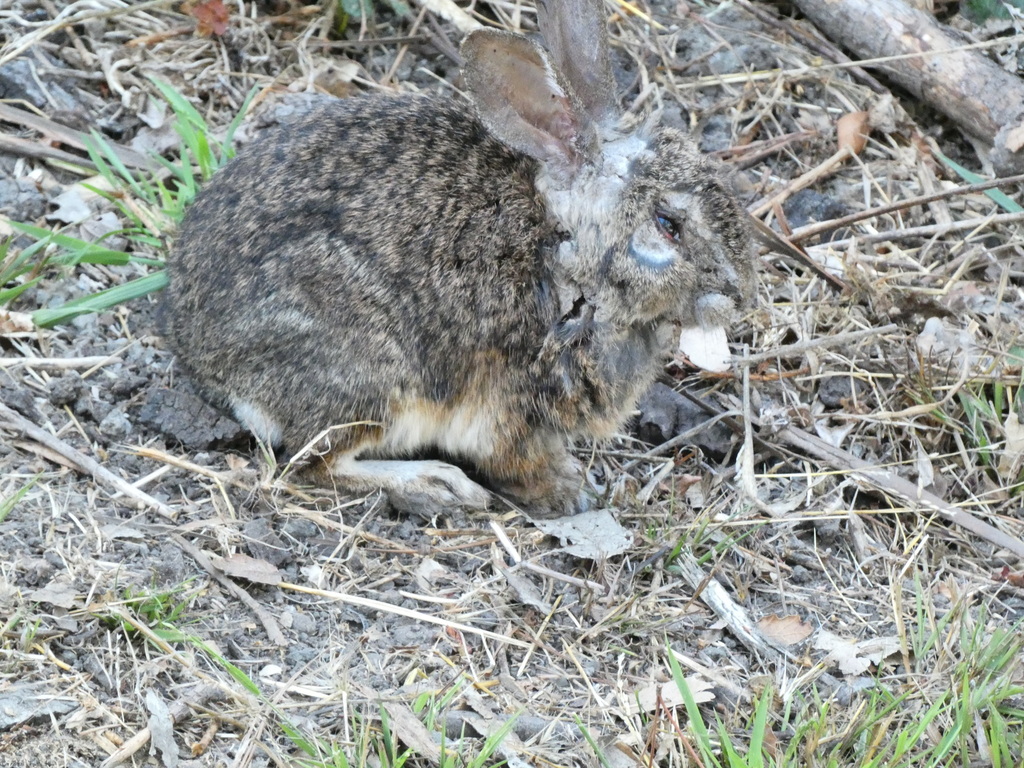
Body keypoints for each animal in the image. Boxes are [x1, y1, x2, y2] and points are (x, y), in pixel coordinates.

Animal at [162, 0, 755, 519]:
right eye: (667, 224)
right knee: (311, 463)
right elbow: (514, 458)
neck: (564, 250)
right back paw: (436, 486)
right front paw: (568, 491)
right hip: (370, 378)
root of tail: (205, 363)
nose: (739, 295)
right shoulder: (511, 401)